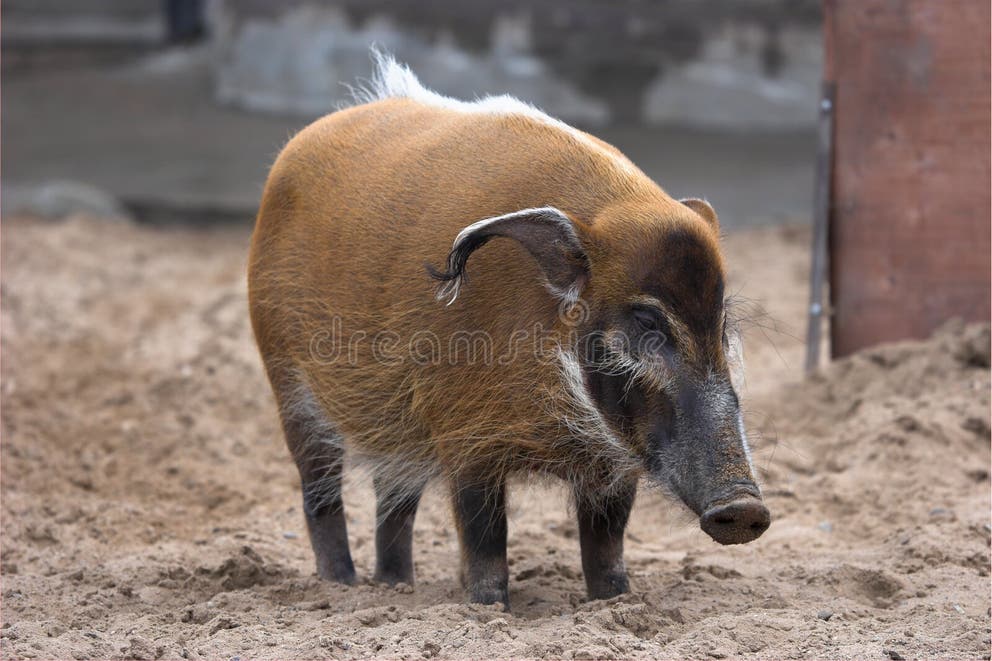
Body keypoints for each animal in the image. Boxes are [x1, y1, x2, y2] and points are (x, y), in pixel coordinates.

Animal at [247, 53, 769, 609]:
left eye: (722, 323)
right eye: (647, 320)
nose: (745, 508)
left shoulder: (613, 462)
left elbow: (607, 541)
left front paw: (614, 599)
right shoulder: (464, 435)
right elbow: (484, 537)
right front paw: (488, 606)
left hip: (395, 433)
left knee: (395, 500)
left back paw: (395, 586)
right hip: (288, 385)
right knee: (321, 491)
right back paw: (340, 584)